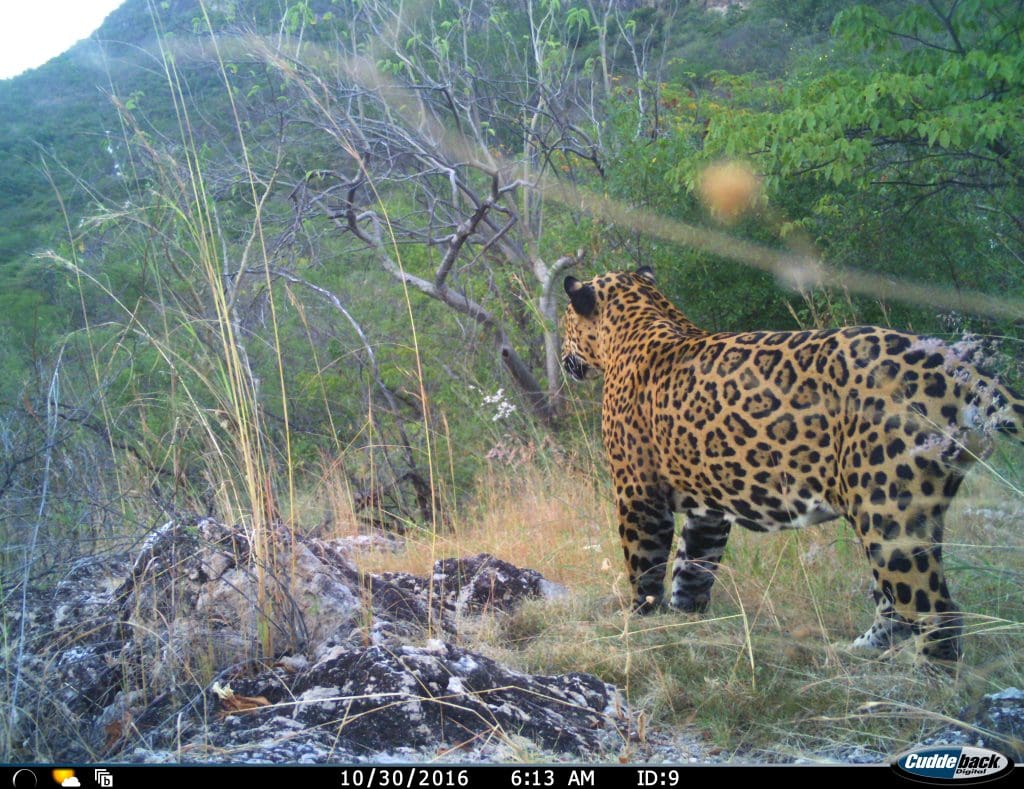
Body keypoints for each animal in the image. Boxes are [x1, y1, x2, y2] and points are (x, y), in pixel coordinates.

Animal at [561, 266, 1024, 662]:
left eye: (565, 323)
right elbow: (693, 569)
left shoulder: (638, 496)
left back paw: (928, 682)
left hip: (887, 510)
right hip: (898, 514)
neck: (643, 320)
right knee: (894, 603)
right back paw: (860, 650)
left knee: (937, 611)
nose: (564, 359)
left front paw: (640, 622)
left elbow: (645, 567)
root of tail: (957, 369)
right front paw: (686, 622)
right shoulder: (708, 508)